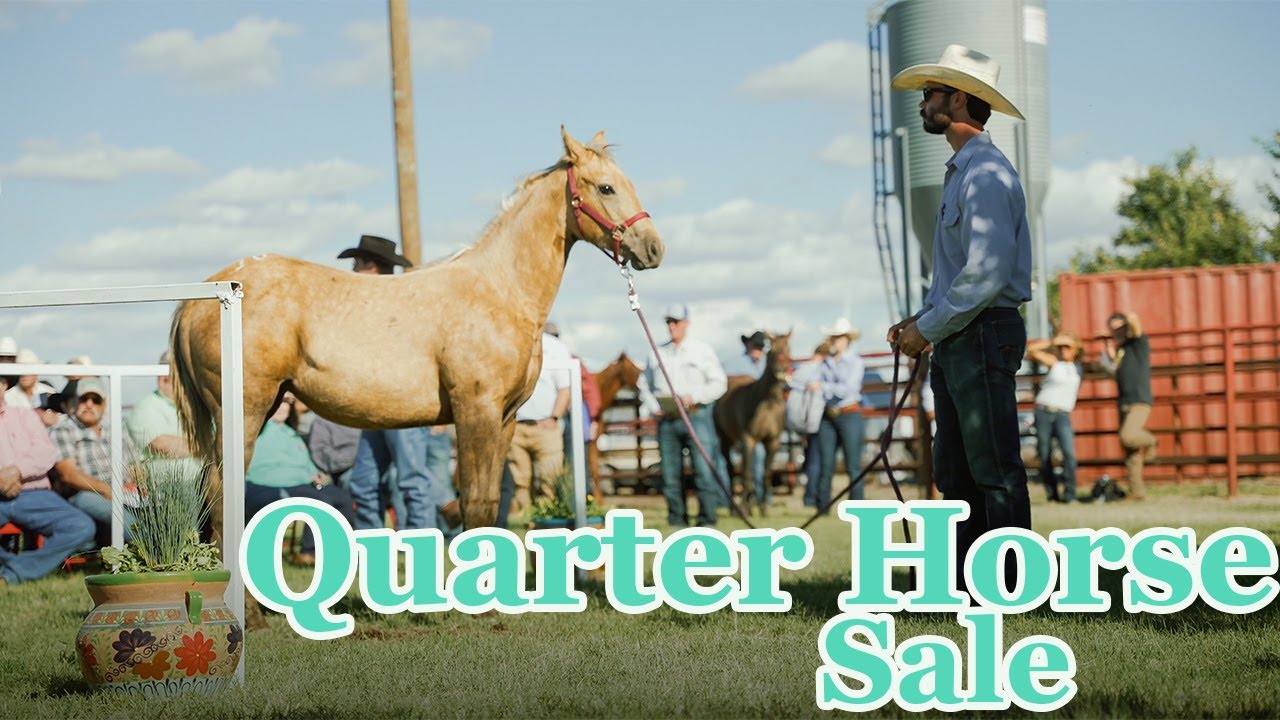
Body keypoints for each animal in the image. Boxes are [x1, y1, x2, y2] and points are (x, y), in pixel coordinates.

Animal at [170, 128, 664, 534]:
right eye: (606, 187)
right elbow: (475, 506)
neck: (500, 289)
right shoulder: (476, 412)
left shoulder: (504, 419)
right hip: (245, 411)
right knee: (221, 497)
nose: (654, 248)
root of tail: (204, 295)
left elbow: (488, 504)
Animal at [713, 332, 792, 516]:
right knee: (731, 470)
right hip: (726, 439)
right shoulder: (748, 438)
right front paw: (742, 508)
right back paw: (735, 508)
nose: (780, 371)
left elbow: (765, 474)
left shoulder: (772, 441)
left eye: (788, 350)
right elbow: (746, 474)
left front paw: (762, 509)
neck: (766, 405)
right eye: (771, 351)